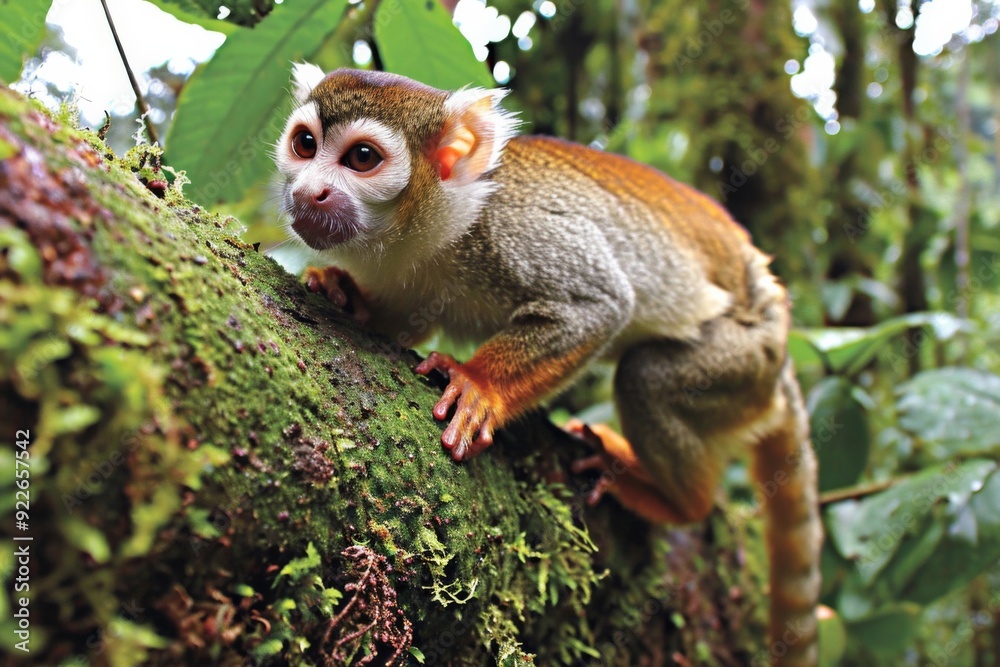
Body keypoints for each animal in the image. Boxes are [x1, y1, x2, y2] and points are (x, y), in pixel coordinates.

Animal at [274, 65, 822, 666]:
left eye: (362, 157)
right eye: (305, 145)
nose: (307, 190)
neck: (439, 225)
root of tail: (775, 316)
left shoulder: (510, 228)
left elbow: (597, 306)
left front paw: (479, 385)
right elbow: (395, 321)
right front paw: (343, 293)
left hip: (745, 358)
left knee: (646, 376)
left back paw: (675, 499)